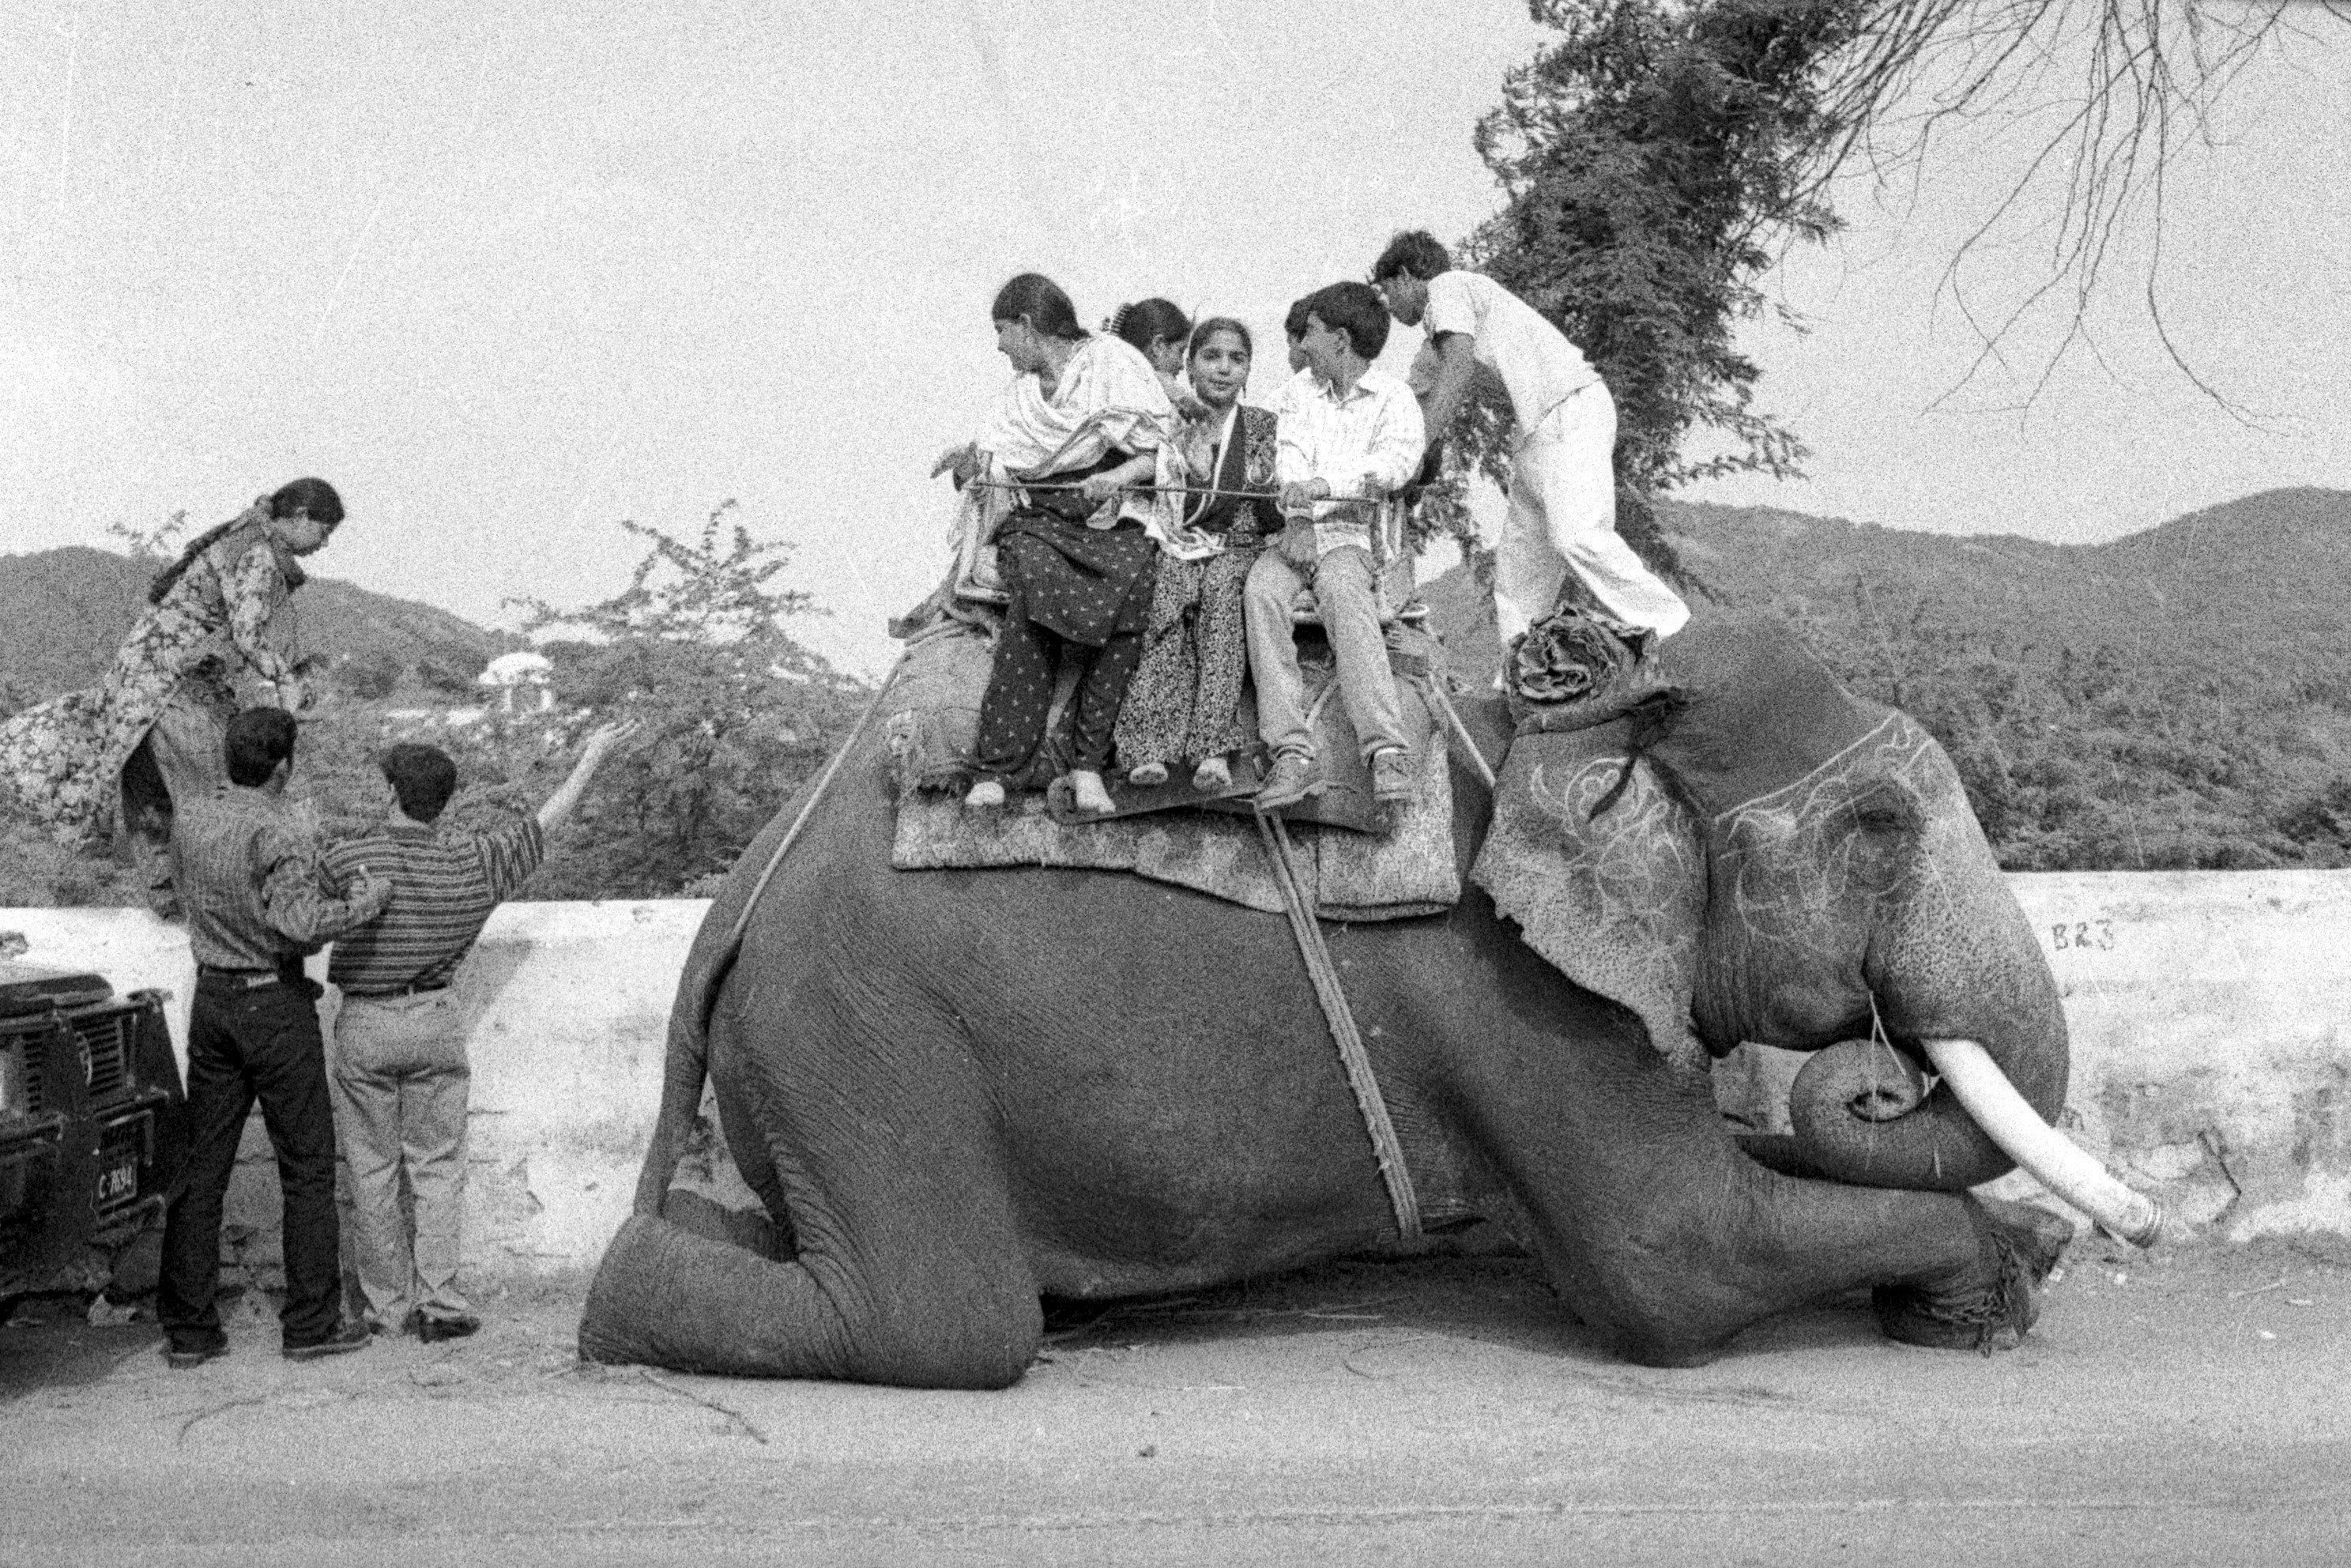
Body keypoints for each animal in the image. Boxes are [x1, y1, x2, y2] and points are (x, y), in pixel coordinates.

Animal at [577, 611, 2151, 1388]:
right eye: (1879, 826)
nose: (1878, 1070)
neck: (1576, 724)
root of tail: (736, 900)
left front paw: (2022, 1252)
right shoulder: (1515, 988)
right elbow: (1675, 1257)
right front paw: (1982, 1294)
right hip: (856, 1030)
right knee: (947, 1327)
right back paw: (615, 1303)